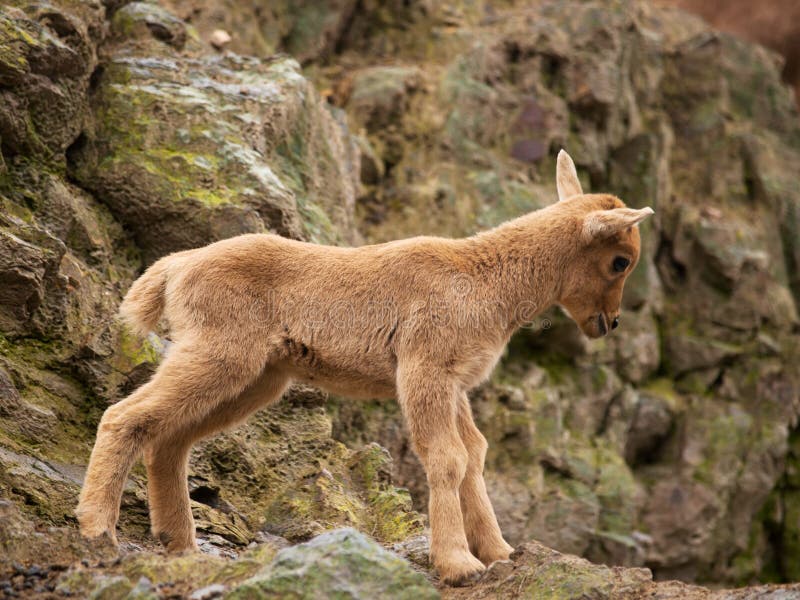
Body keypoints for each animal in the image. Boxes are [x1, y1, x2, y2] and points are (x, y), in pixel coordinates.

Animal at [77, 150, 653, 586]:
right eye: (620, 260)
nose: (610, 322)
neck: (485, 283)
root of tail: (173, 269)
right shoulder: (423, 368)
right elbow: (447, 458)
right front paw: (459, 563)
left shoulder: (456, 383)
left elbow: (475, 454)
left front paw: (500, 553)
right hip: (219, 351)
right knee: (124, 416)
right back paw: (96, 528)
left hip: (258, 375)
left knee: (169, 439)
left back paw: (179, 545)